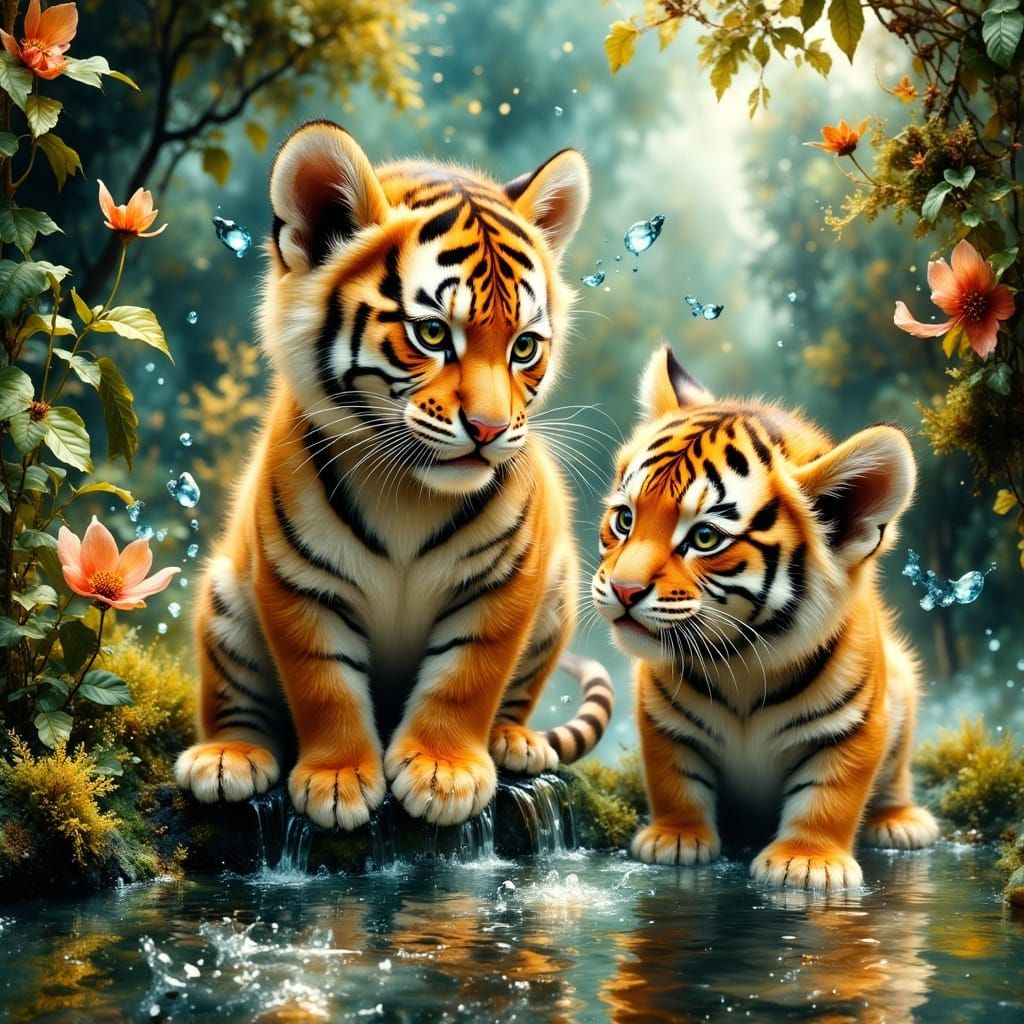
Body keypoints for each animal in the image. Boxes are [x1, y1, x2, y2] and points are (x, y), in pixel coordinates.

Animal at [174, 120, 614, 830]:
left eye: (523, 347)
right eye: (432, 334)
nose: (490, 430)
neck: (409, 488)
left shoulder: (508, 584)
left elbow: (467, 677)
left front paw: (441, 774)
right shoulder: (296, 583)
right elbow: (324, 683)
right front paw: (338, 780)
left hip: (558, 594)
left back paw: (516, 743)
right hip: (224, 599)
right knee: (234, 699)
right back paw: (227, 757)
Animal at [592, 345, 939, 889]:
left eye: (705, 538)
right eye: (625, 520)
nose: (623, 589)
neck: (741, 661)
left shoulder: (855, 727)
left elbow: (830, 794)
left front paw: (808, 862)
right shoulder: (662, 717)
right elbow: (674, 777)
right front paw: (675, 838)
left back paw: (901, 823)